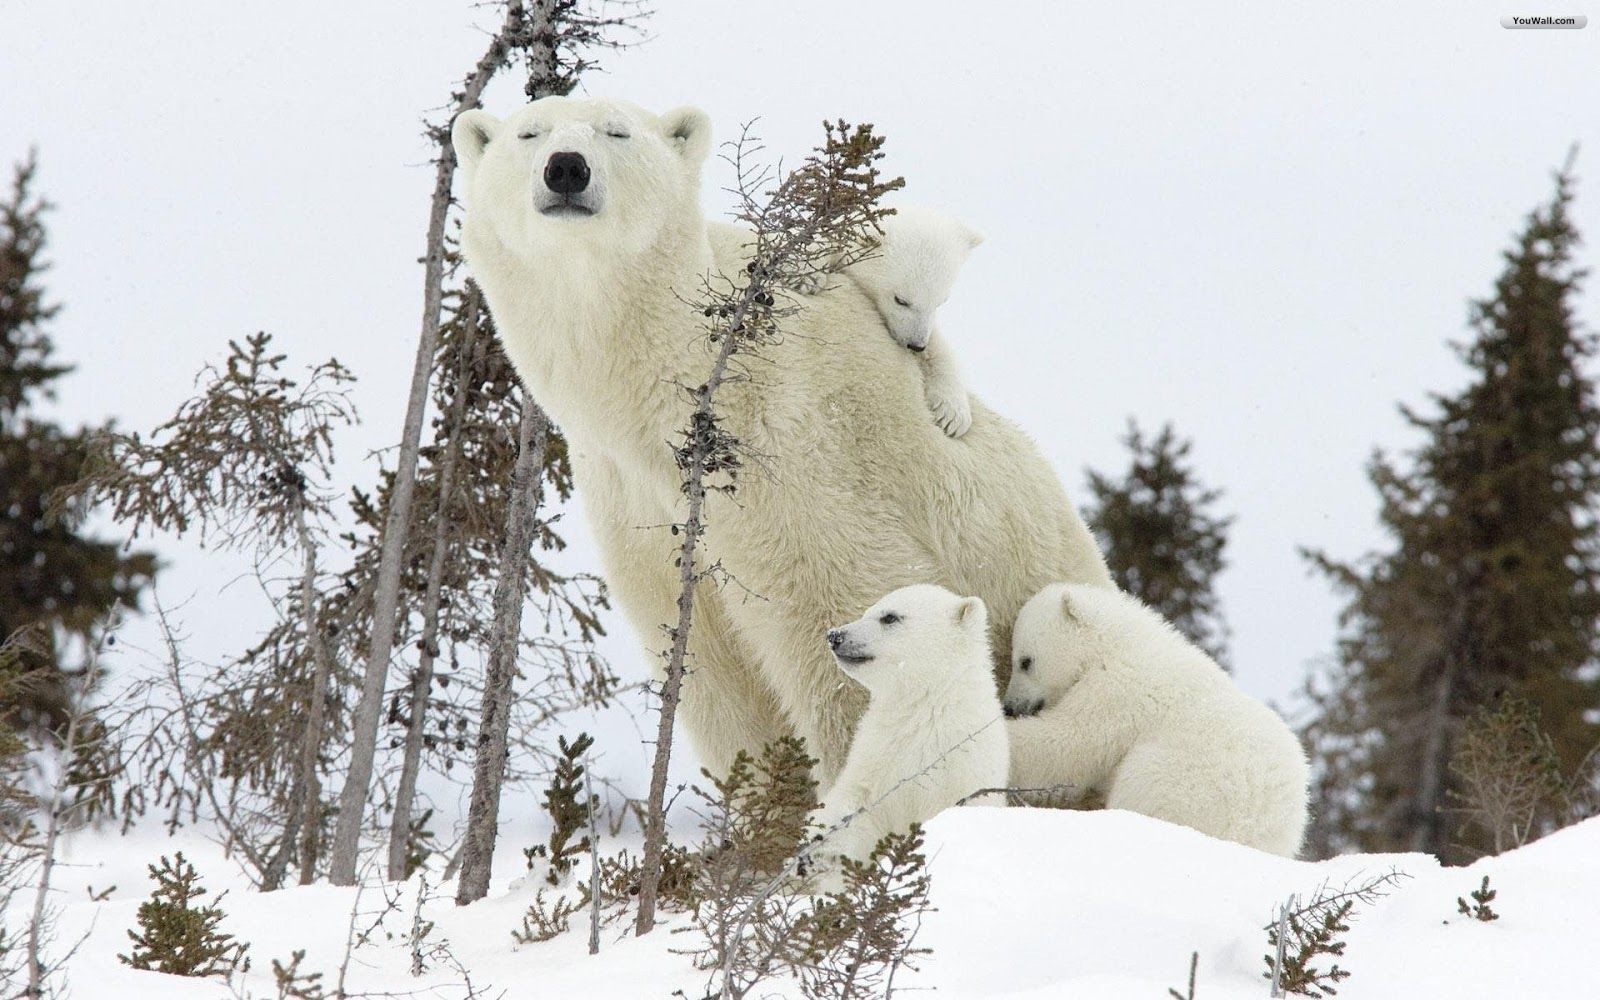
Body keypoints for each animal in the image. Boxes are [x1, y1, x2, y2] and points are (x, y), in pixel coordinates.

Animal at [802, 205, 982, 438]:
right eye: (900, 300)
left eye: (941, 302)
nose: (916, 345)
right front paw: (806, 274)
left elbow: (939, 348)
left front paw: (953, 415)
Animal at [813, 584, 1010, 865]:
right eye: (867, 611)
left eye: (889, 617)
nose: (835, 635)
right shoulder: (876, 756)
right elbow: (854, 803)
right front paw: (820, 850)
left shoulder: (963, 769)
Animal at [1002, 582, 1309, 856]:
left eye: (1025, 661)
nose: (1010, 706)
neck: (1118, 644)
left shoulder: (1119, 691)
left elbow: (1068, 743)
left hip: (1177, 782)